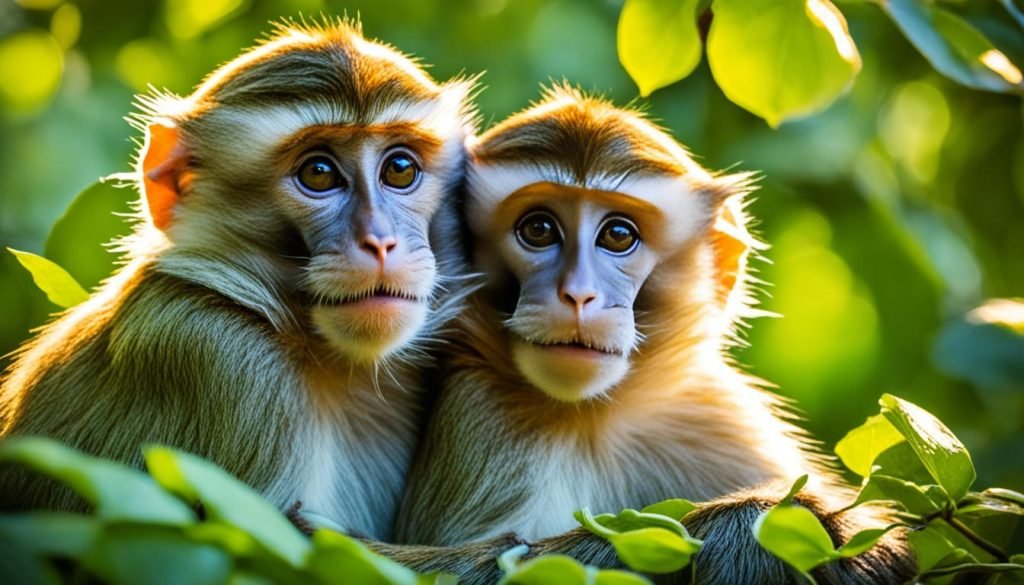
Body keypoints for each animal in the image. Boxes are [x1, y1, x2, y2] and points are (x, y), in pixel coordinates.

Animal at [391, 86, 915, 584]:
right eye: (538, 228)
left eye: (618, 235)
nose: (578, 294)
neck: (585, 420)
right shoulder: (483, 419)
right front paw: (748, 526)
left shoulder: (714, 417)